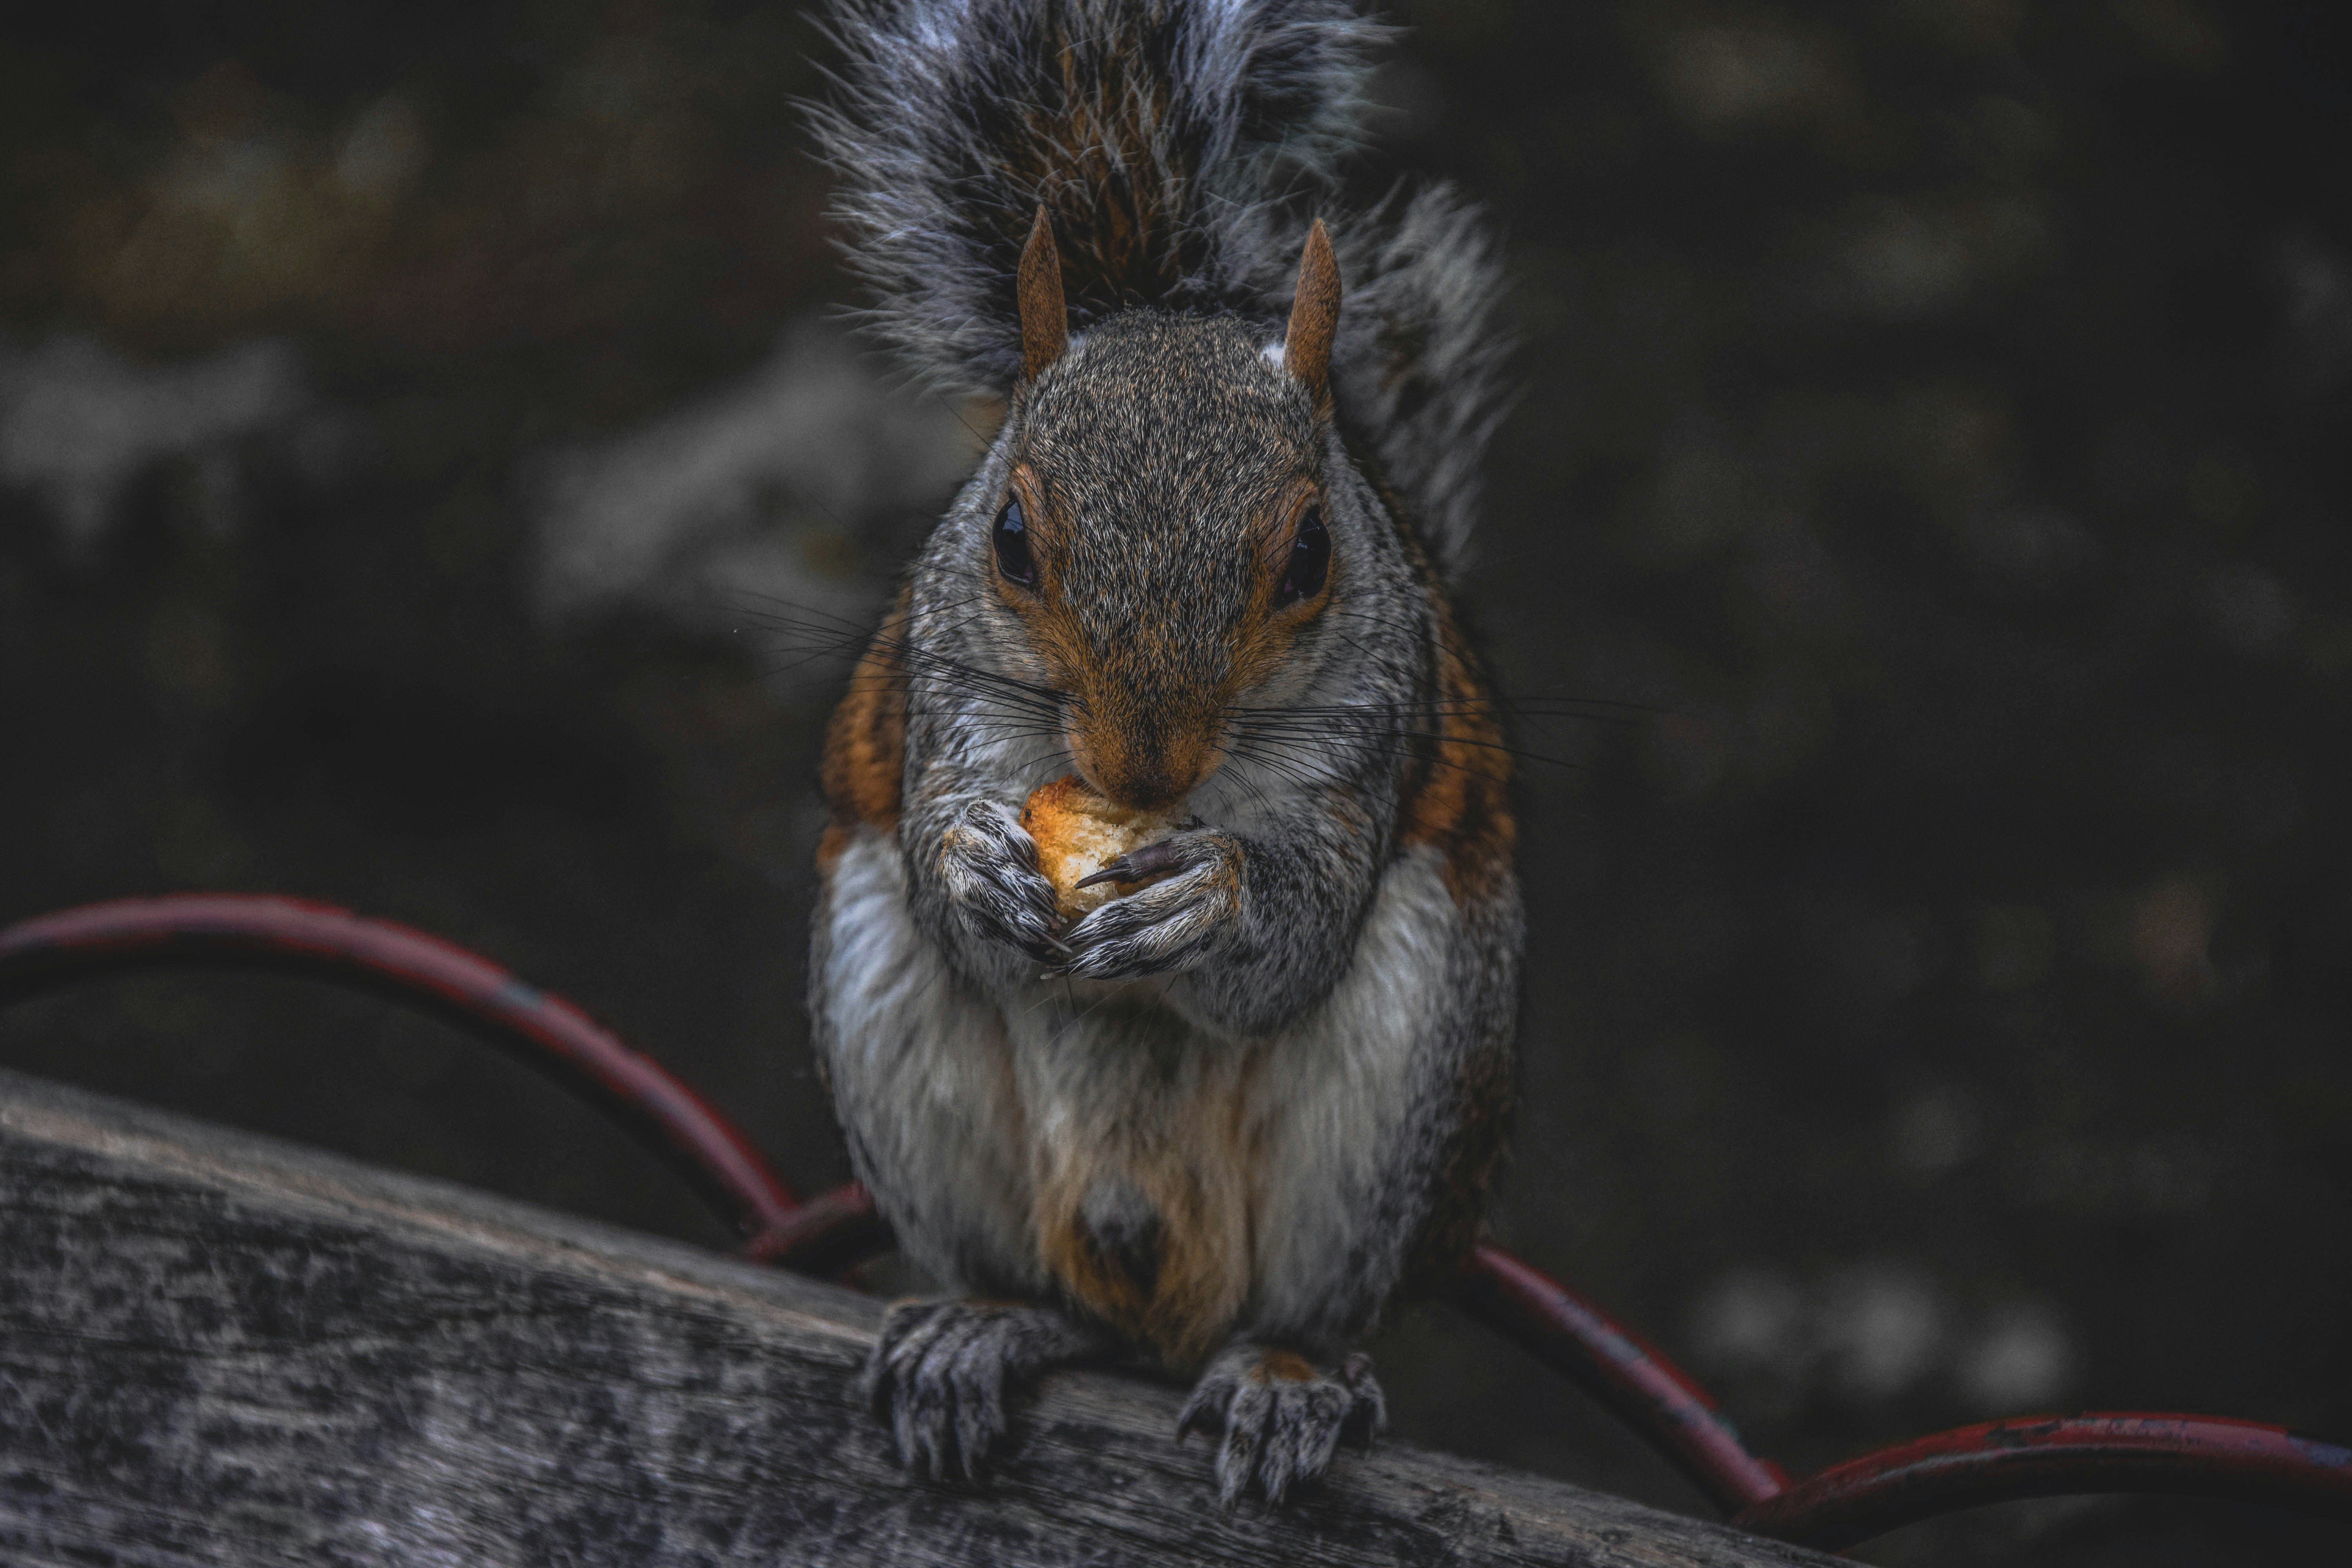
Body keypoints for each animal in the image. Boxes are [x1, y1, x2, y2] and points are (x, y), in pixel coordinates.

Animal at [804, 0, 1521, 1508]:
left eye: (1310, 554)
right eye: (1010, 537)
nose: (1140, 769)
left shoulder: (1368, 744)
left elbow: (1293, 947)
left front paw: (1212, 900)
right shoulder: (939, 707)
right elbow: (947, 872)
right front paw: (972, 869)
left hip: (1404, 1088)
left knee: (1302, 1308)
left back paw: (1289, 1379)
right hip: (884, 1017)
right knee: (1050, 1301)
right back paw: (983, 1328)